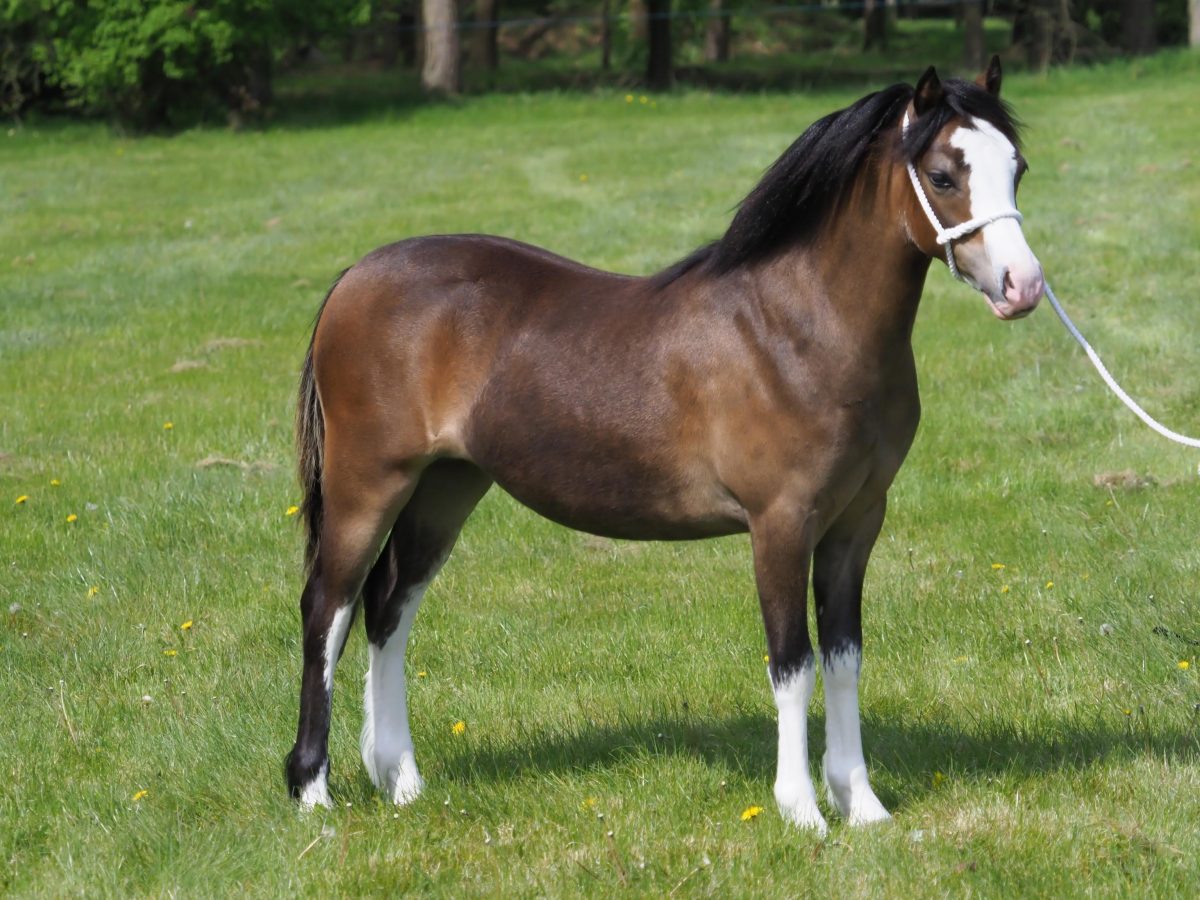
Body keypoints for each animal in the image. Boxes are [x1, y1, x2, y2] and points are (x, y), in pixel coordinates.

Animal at [284, 57, 1045, 833]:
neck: (798, 327)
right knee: (328, 608)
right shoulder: (781, 524)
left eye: (1016, 167)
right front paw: (801, 809)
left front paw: (861, 805)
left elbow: (843, 658)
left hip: (446, 486)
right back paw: (312, 788)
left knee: (388, 608)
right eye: (944, 175)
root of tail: (355, 276)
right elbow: (792, 663)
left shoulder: (855, 525)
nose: (1023, 286)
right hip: (369, 483)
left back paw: (401, 779)